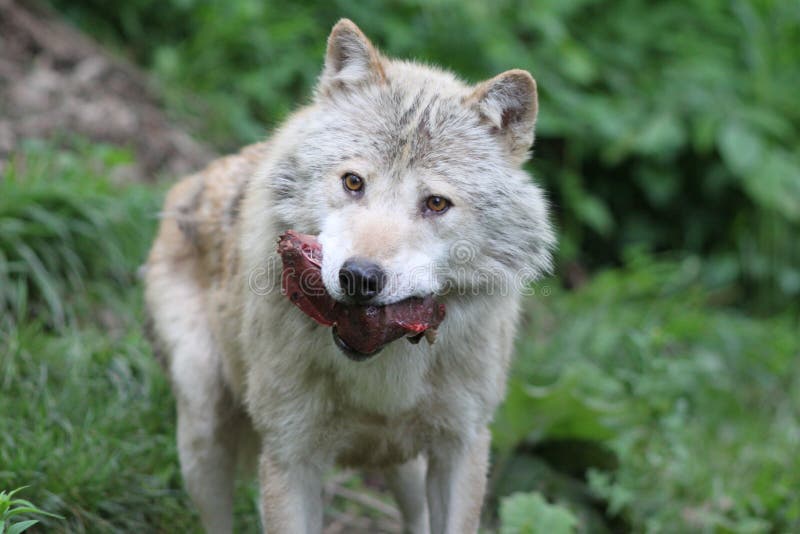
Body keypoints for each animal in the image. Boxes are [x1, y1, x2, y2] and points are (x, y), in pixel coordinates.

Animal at [144, 18, 554, 534]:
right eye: (353, 182)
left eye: (436, 203)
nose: (360, 276)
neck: (382, 372)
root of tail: (187, 186)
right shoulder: (289, 458)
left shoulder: (462, 448)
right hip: (203, 432)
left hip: (406, 467)